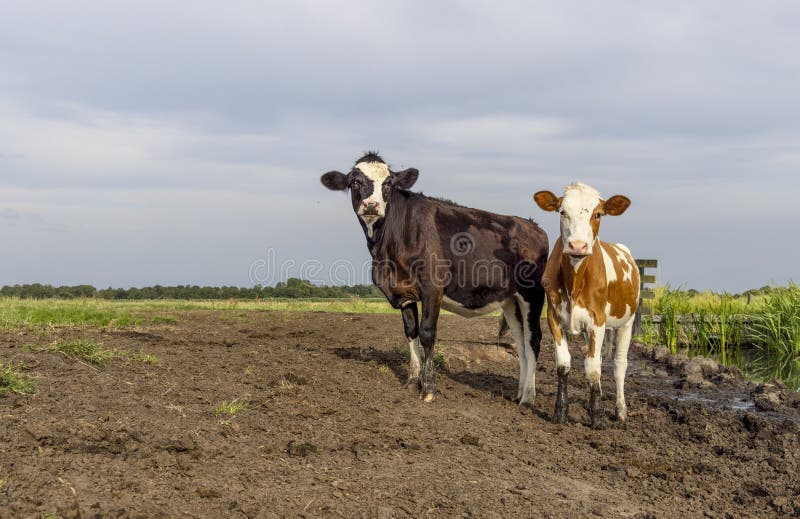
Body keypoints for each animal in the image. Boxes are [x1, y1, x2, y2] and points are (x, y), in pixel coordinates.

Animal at [321, 152, 549, 404]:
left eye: (389, 183)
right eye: (354, 182)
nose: (371, 205)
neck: (386, 249)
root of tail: (533, 226)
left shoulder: (432, 288)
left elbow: (427, 333)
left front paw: (428, 387)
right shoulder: (403, 291)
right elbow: (411, 332)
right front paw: (412, 379)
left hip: (532, 293)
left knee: (534, 339)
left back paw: (528, 397)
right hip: (510, 299)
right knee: (520, 340)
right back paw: (518, 393)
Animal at [533, 182, 639, 429]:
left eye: (598, 214)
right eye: (562, 212)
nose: (577, 245)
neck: (575, 280)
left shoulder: (597, 321)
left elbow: (593, 371)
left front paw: (598, 418)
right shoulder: (553, 317)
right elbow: (564, 364)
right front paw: (560, 412)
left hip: (626, 323)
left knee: (619, 365)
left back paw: (620, 411)